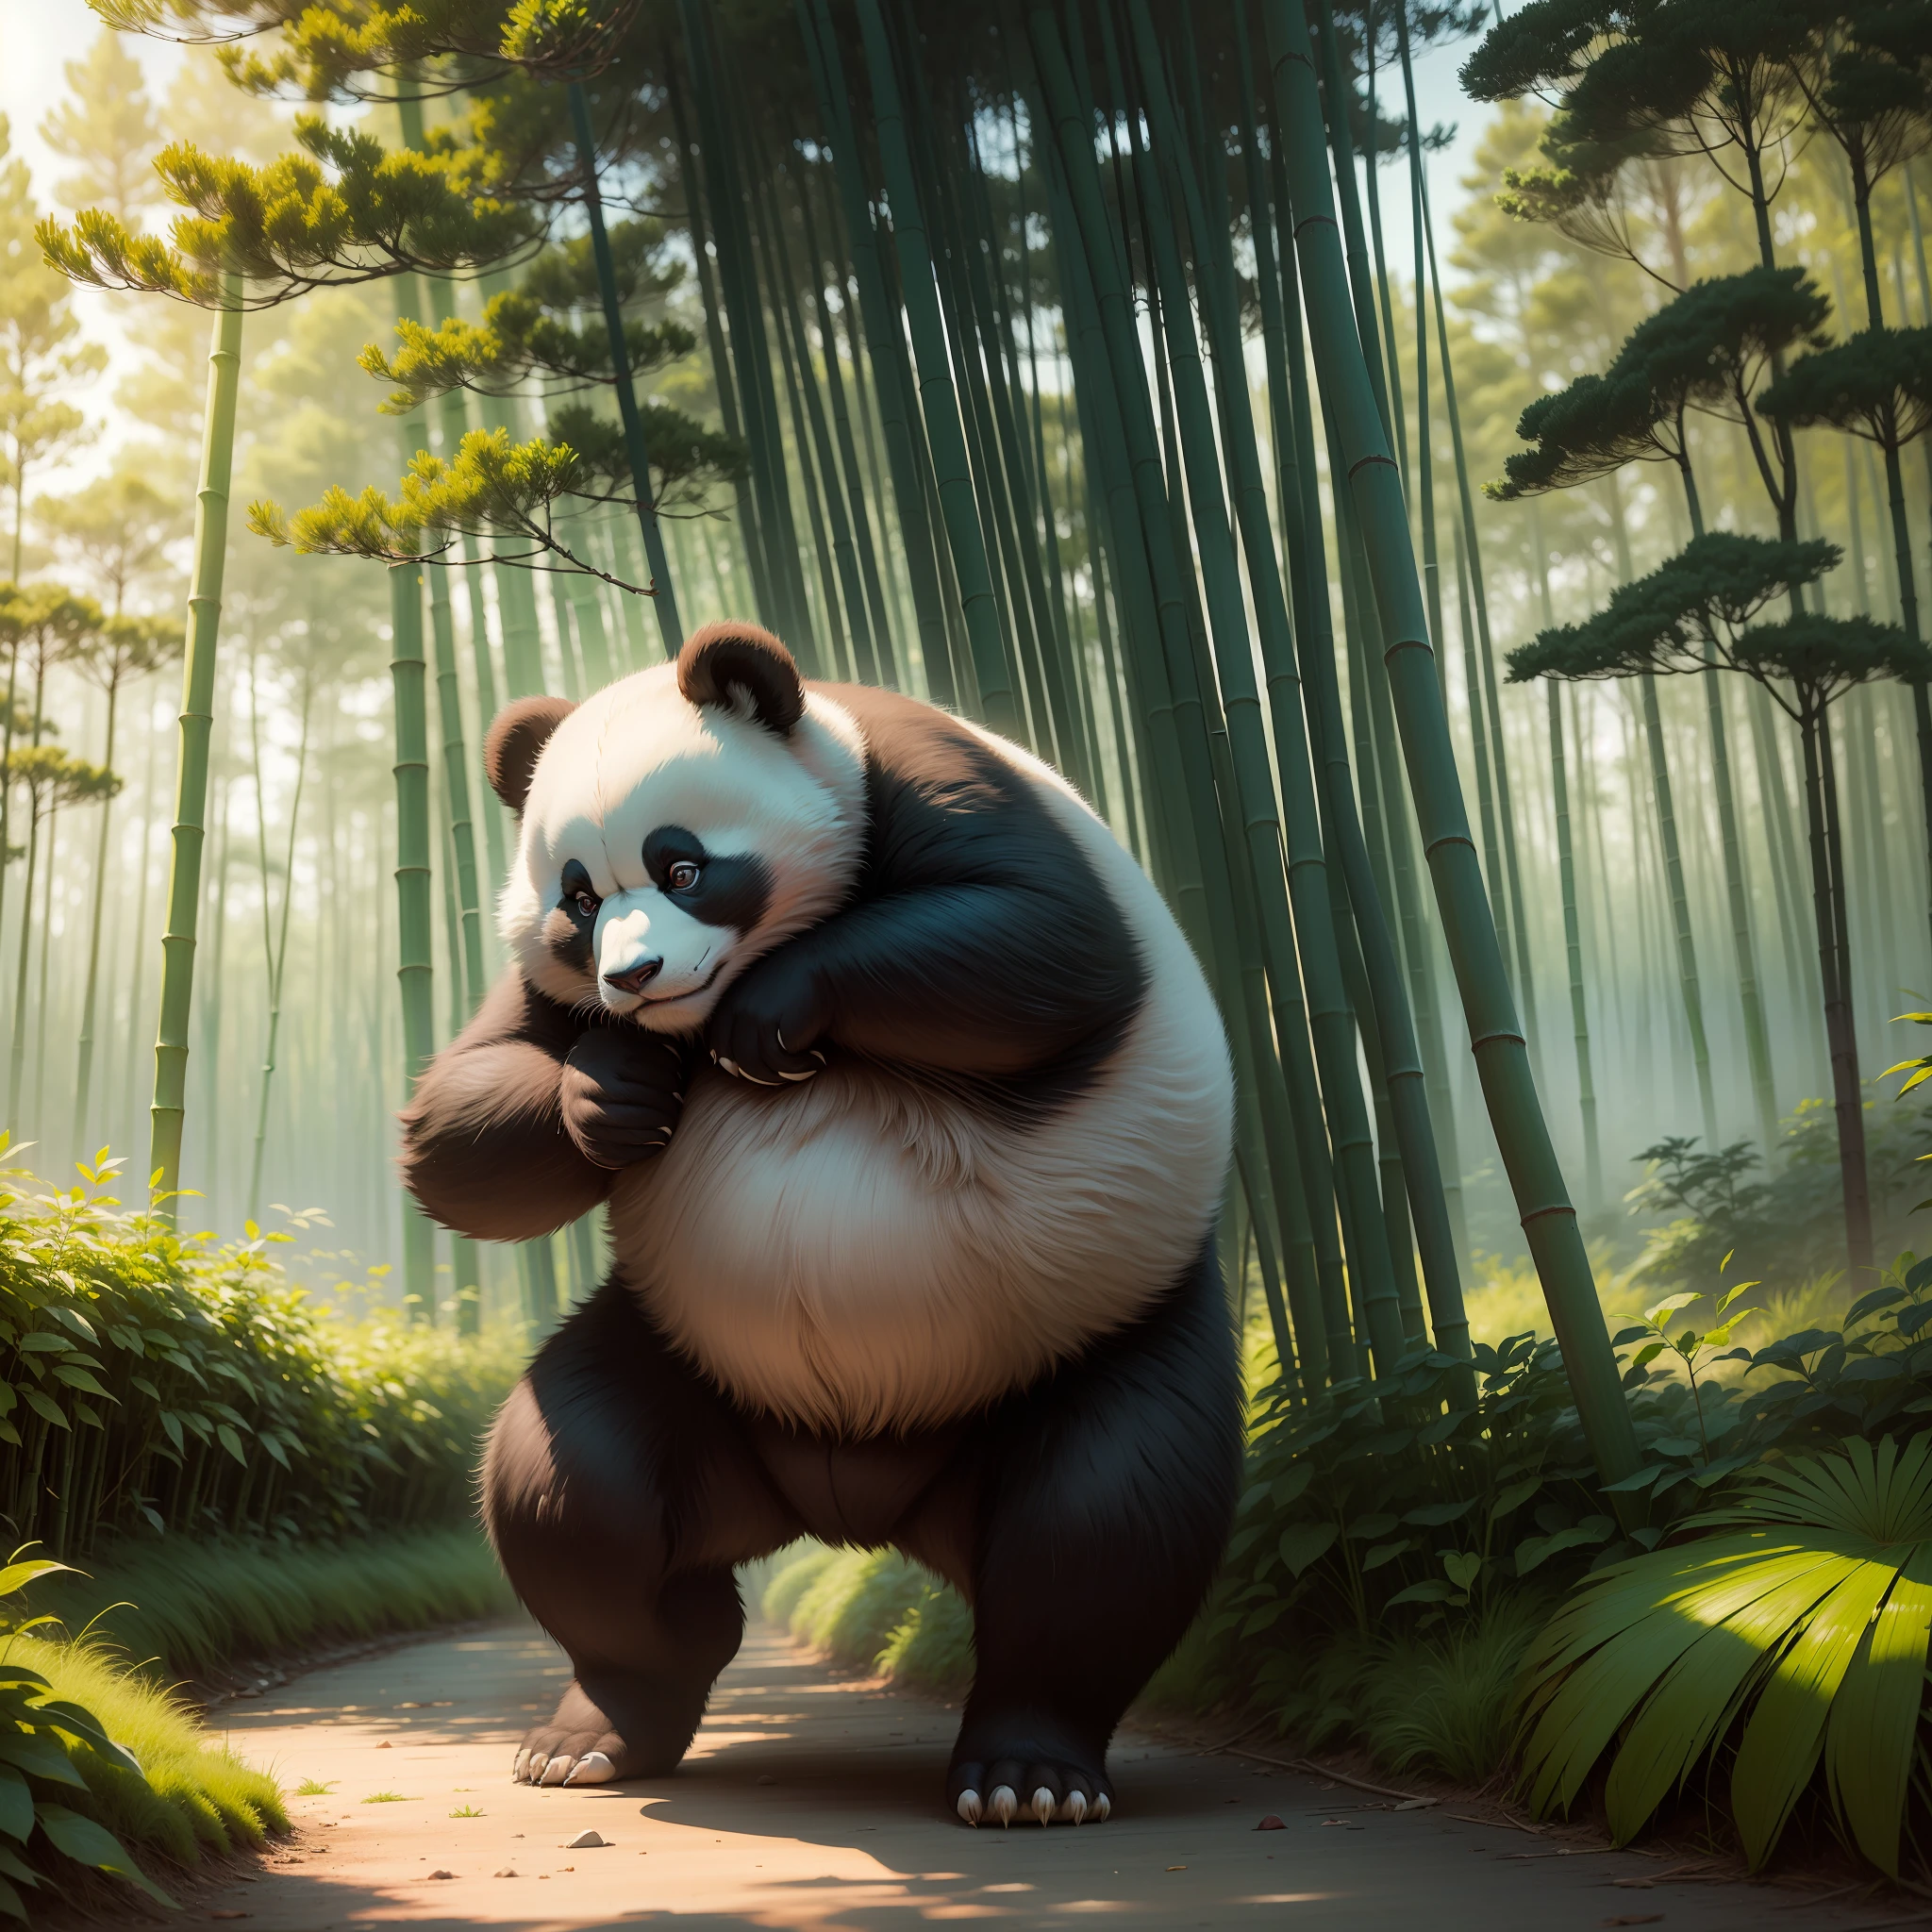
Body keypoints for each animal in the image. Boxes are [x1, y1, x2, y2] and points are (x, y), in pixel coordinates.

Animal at [402, 621, 1239, 1828]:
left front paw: (769, 1012)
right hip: (685, 1357)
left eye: (683, 866)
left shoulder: (927, 784)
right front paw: (610, 1091)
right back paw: (614, 1712)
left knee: (1102, 1517)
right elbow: (454, 1121)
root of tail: (857, 1494)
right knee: (571, 1484)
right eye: (577, 898)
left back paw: (1030, 1772)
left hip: (1098, 1326)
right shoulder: (547, 988)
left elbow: (1045, 946)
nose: (635, 977)